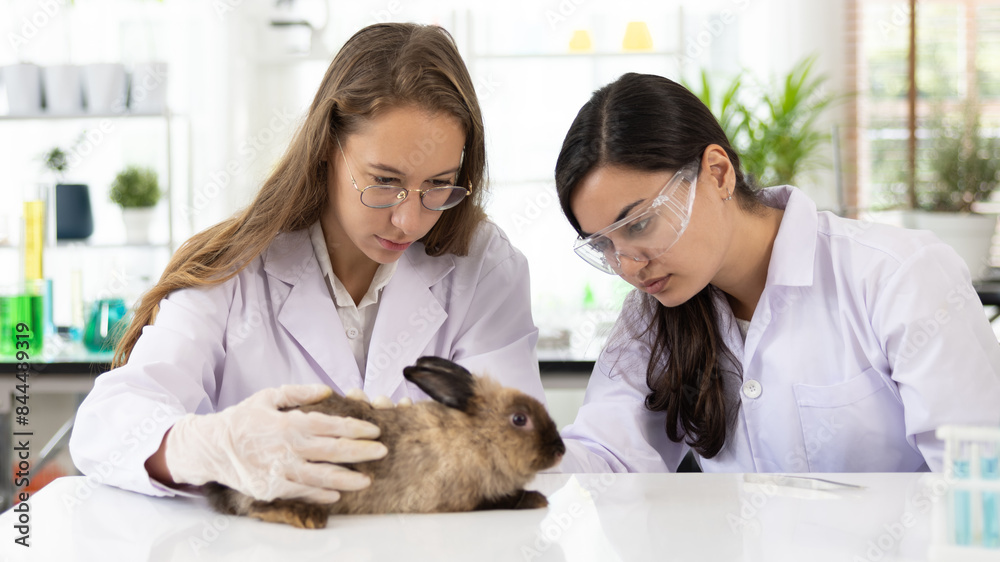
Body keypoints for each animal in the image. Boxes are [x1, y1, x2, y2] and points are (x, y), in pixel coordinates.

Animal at [205, 356, 566, 528]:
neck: (478, 436)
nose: (560, 450)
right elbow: (503, 500)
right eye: (519, 419)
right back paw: (308, 519)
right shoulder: (459, 498)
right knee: (259, 508)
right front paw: (537, 500)